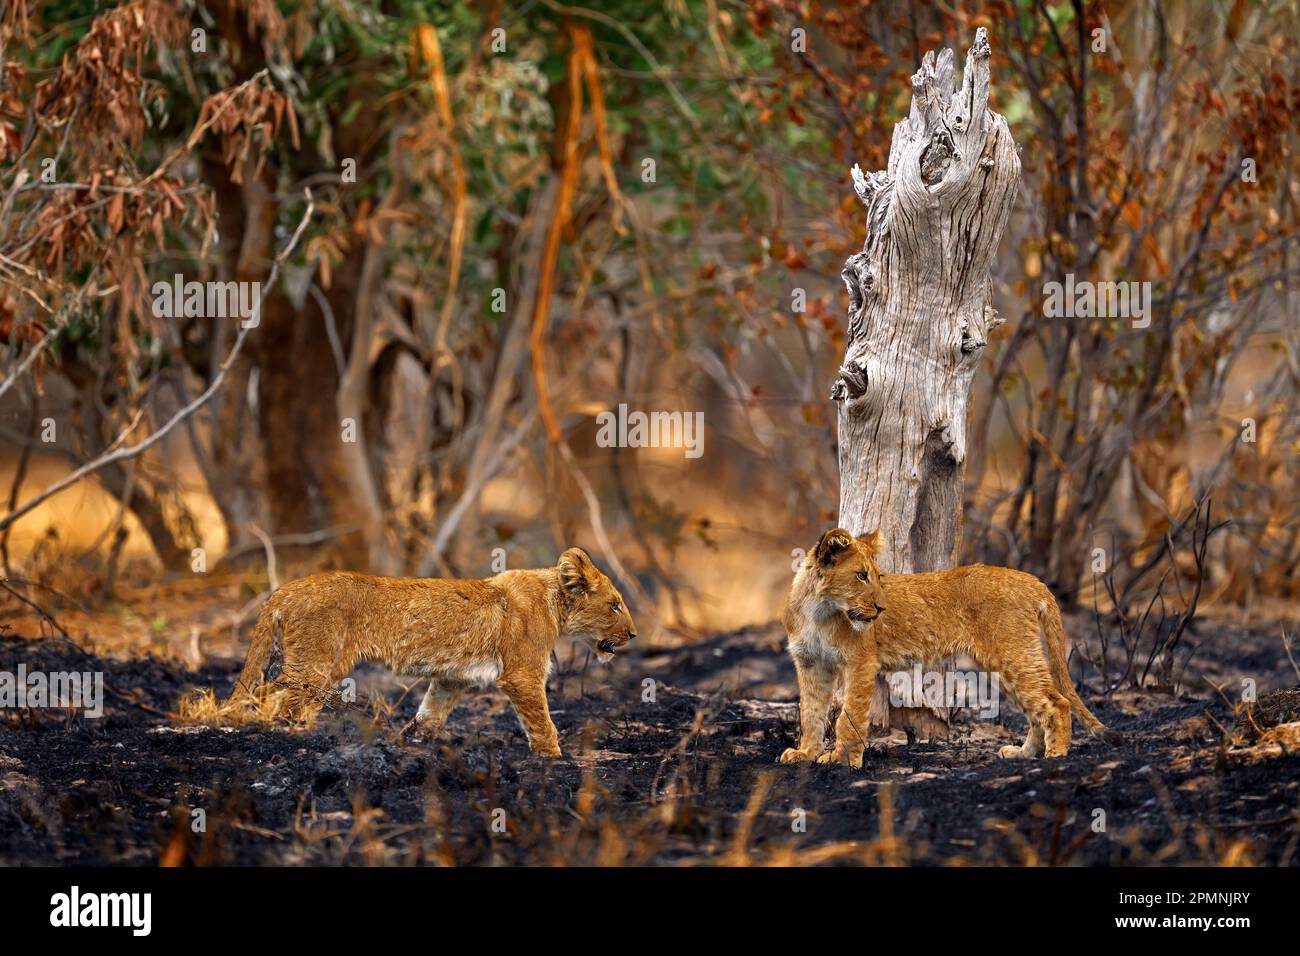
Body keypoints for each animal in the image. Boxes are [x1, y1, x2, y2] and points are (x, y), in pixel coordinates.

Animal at [232, 548, 636, 756]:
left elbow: (430, 713)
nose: (633, 634)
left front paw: (410, 741)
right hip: (314, 666)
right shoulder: (521, 675)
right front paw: (553, 759)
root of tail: (282, 590)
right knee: (267, 695)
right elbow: (542, 722)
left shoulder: (452, 678)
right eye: (615, 604)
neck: (554, 601)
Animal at [779, 528, 1118, 767]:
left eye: (877, 577)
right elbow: (811, 712)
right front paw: (805, 753)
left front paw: (841, 760)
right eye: (861, 576)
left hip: (1012, 653)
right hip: (1003, 663)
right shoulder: (810, 664)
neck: (819, 611)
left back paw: (1055, 755)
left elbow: (848, 717)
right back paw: (1024, 753)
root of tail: (1032, 580)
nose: (881, 608)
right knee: (1036, 708)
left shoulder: (860, 662)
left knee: (1057, 702)